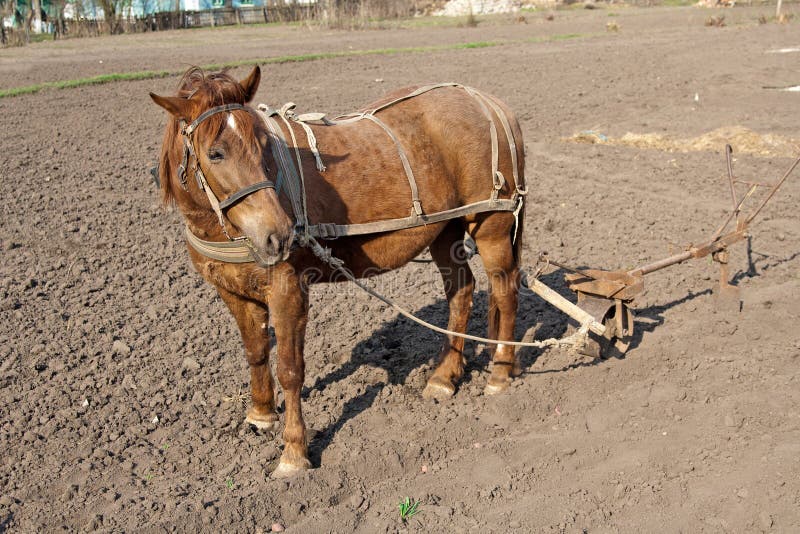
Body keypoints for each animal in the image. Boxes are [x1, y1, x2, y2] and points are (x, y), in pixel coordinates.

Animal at [150, 65, 526, 478]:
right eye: (215, 153)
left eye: (264, 146)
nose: (278, 235)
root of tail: (490, 102)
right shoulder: (232, 291)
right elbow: (255, 352)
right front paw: (260, 414)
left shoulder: (287, 289)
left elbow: (290, 369)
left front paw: (294, 451)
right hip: (445, 230)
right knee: (461, 291)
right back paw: (444, 377)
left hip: (491, 226)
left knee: (505, 291)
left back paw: (500, 372)